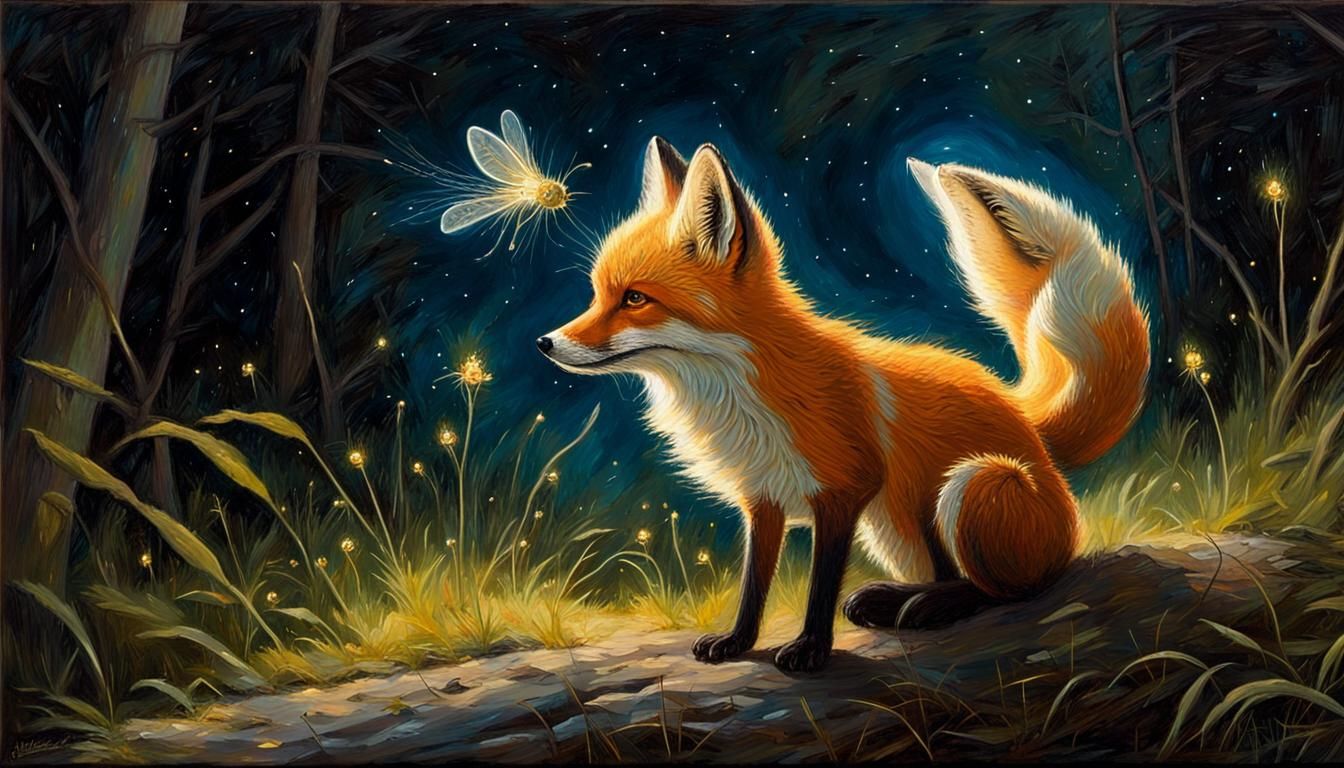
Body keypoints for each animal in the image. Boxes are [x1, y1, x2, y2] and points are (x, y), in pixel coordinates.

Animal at [537, 137, 1149, 672]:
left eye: (635, 299)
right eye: (597, 294)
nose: (545, 343)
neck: (738, 391)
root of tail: (1029, 423)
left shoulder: (846, 488)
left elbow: (821, 585)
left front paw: (810, 650)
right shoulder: (763, 498)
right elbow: (753, 584)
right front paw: (738, 642)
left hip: (972, 484)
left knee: (1008, 588)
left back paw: (934, 607)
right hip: (897, 527)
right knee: (946, 573)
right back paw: (897, 601)